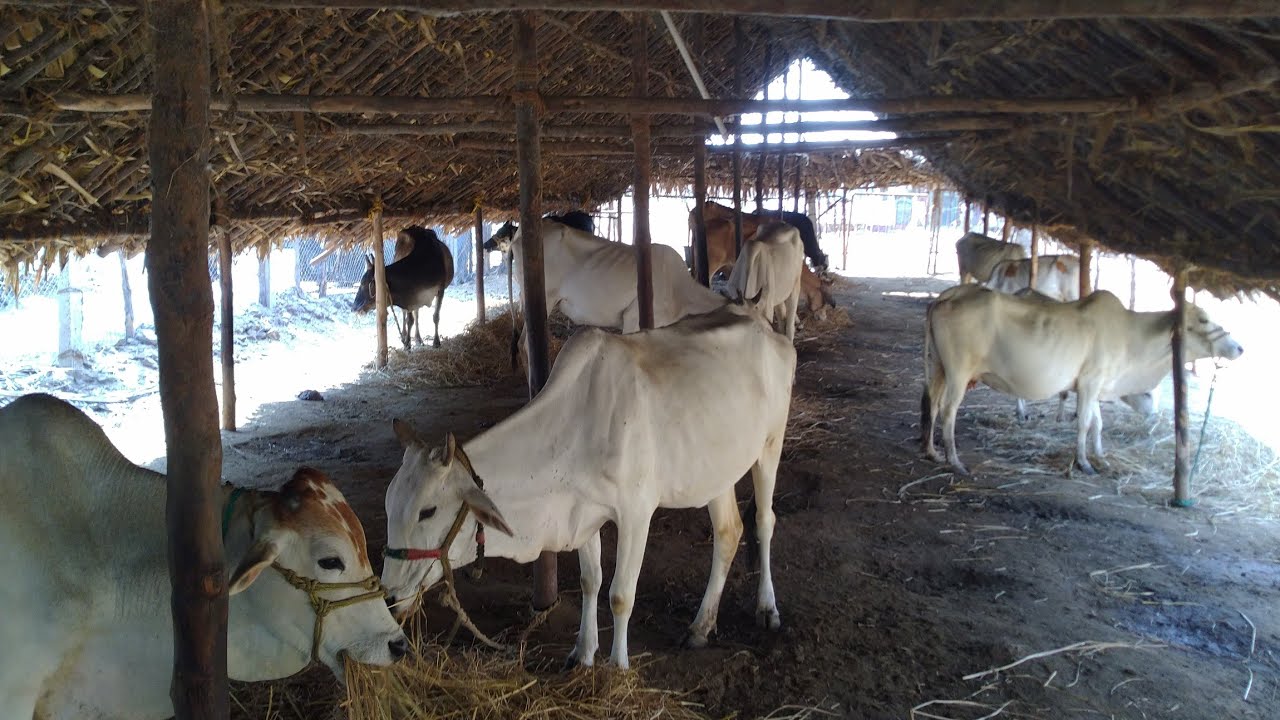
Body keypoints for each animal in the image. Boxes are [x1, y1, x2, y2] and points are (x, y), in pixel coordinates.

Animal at [381, 299, 797, 669]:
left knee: (764, 521)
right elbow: (589, 581)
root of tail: (763, 322)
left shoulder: (635, 514)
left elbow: (620, 595)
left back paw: (767, 608)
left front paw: (618, 667)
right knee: (728, 532)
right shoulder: (583, 512)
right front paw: (582, 653)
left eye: (427, 511)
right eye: (389, 506)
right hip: (715, 469)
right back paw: (700, 626)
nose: (387, 598)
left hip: (770, 445)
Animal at [920, 285, 1243, 475]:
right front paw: (1084, 462)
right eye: (1203, 319)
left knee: (932, 403)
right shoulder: (1090, 382)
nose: (1238, 348)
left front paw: (1100, 456)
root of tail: (950, 295)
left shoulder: (1095, 386)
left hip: (939, 366)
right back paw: (954, 460)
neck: (1131, 337)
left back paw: (932, 452)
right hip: (959, 371)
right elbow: (1085, 423)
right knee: (948, 410)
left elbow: (1098, 423)